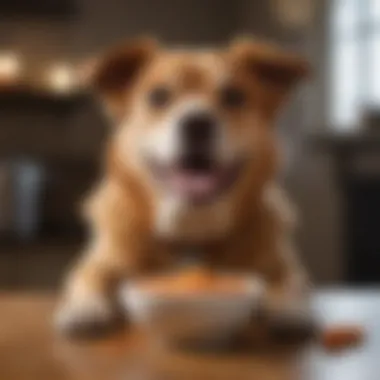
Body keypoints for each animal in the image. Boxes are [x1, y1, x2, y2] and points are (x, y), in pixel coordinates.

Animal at [55, 37, 314, 342]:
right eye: (158, 96)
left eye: (233, 96)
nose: (197, 124)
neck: (190, 228)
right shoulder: (97, 263)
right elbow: (89, 279)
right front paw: (85, 308)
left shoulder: (282, 264)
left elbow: (288, 282)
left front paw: (290, 309)